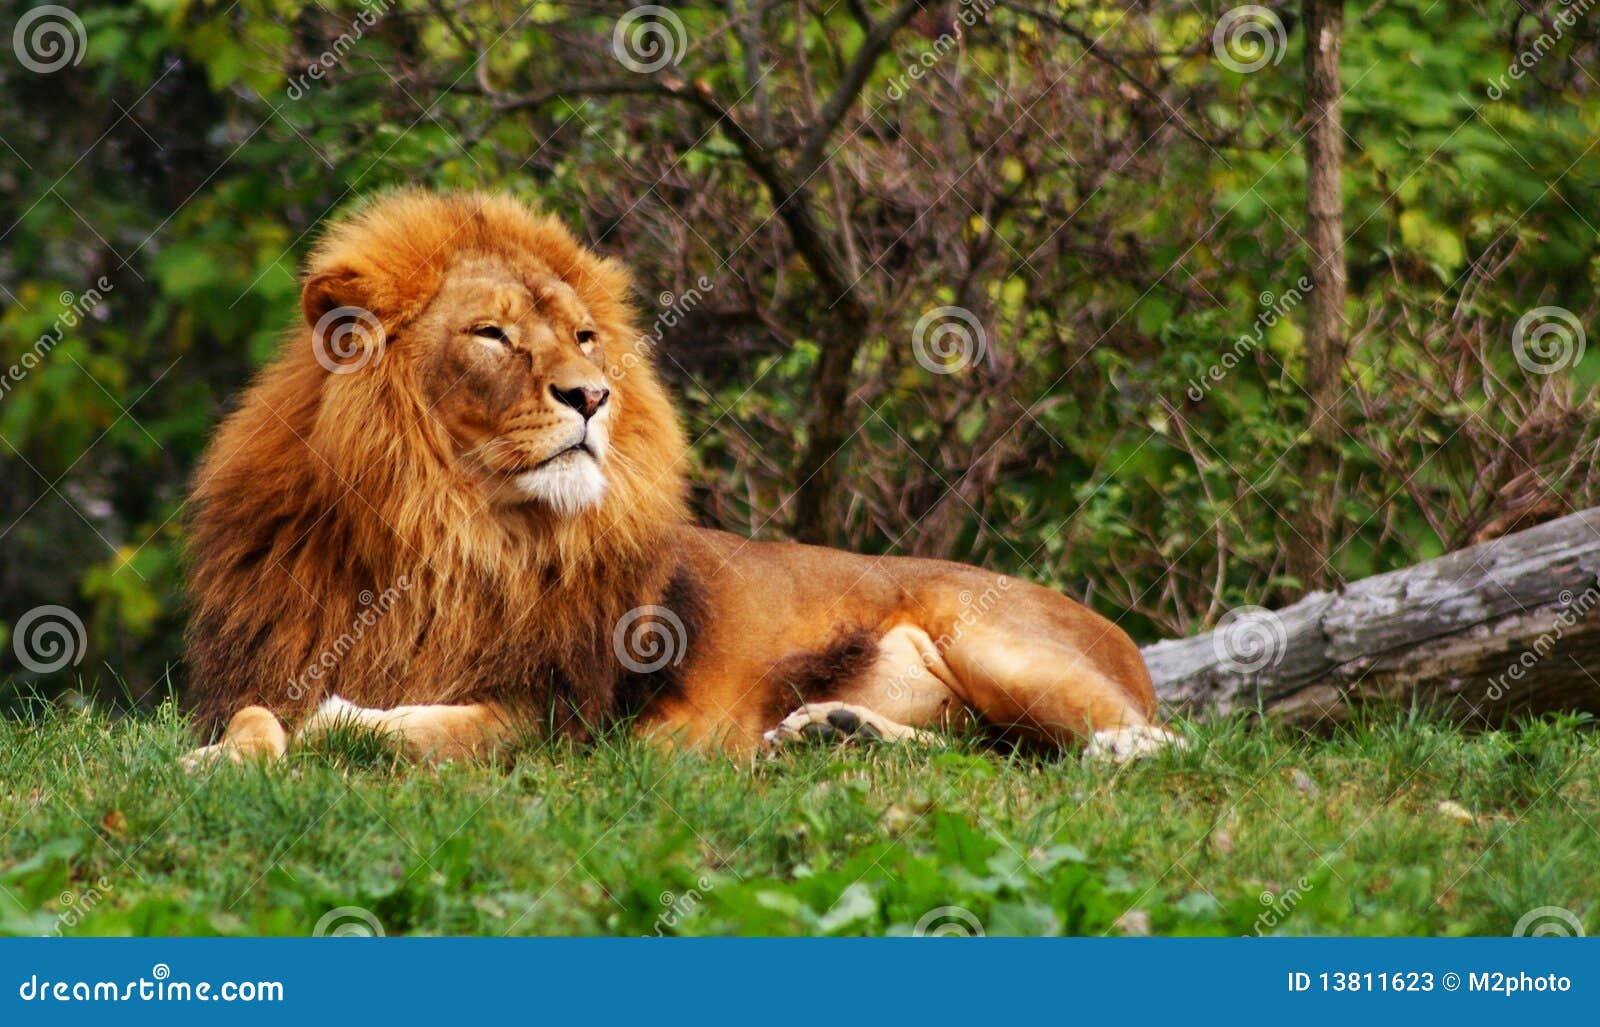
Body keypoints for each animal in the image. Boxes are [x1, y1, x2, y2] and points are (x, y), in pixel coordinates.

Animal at [182, 189, 1180, 769]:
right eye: (492, 335)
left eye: (584, 337)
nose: (591, 395)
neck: (449, 533)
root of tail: (1126, 643)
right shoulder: (259, 671)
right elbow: (256, 719)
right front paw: (221, 762)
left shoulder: (572, 724)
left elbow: (405, 725)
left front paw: (337, 724)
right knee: (987, 748)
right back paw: (834, 732)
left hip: (1003, 643)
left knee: (1169, 741)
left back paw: (1118, 752)